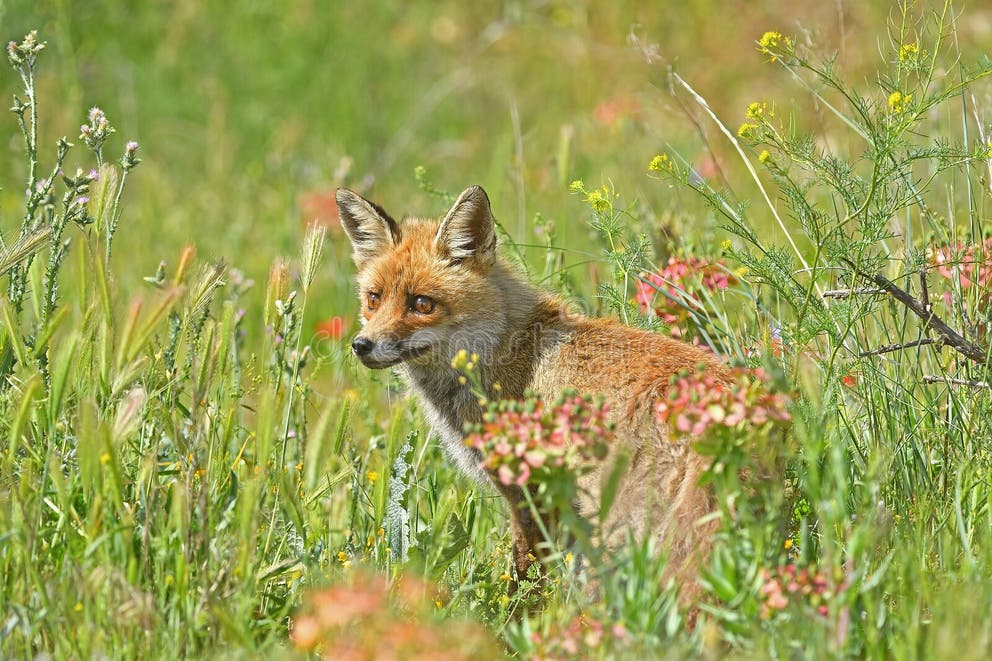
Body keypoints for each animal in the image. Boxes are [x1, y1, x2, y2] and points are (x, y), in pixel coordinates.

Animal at [336, 184, 730, 599]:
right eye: (374, 299)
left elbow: (526, 577)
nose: (361, 345)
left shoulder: (532, 493)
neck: (503, 351)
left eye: (422, 303)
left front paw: (514, 615)